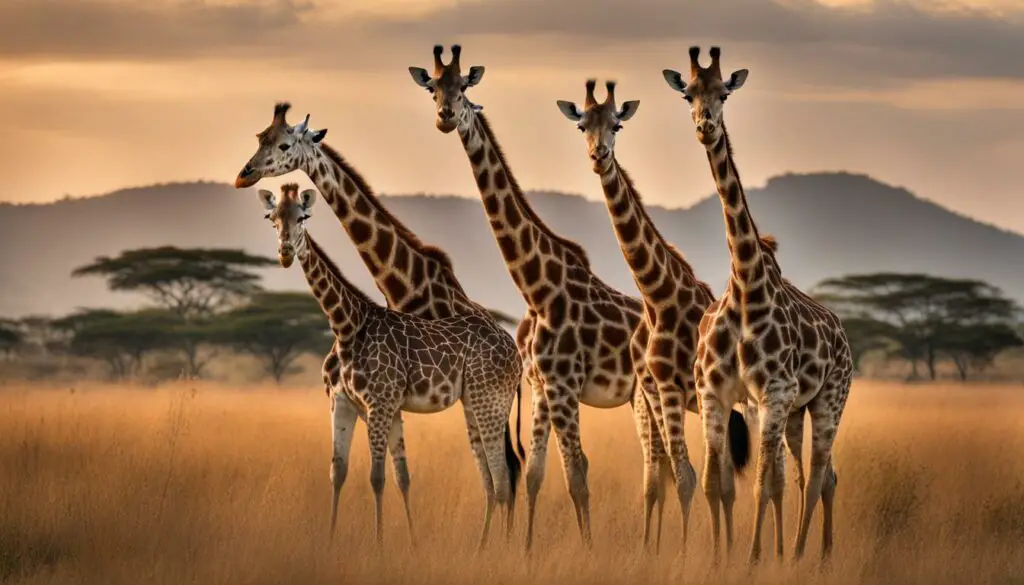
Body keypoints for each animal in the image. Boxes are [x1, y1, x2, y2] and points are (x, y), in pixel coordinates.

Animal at [234, 105, 525, 546]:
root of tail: (517, 353)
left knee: (509, 473)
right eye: (259, 136)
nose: (244, 174)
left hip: (489, 400)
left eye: (284, 144)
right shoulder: (356, 401)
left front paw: (383, 544)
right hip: (475, 403)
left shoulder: (383, 400)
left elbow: (380, 475)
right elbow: (362, 473)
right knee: (496, 477)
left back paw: (505, 547)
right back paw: (491, 546)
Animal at [409, 43, 696, 550]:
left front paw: (587, 549)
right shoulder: (542, 386)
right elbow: (537, 474)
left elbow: (576, 473)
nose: (445, 117)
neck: (539, 287)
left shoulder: (564, 385)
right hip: (643, 397)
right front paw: (522, 551)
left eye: (462, 89)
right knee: (661, 466)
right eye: (432, 89)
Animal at [555, 78, 749, 549]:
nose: (599, 156)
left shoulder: (690, 391)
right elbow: (675, 476)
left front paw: (686, 551)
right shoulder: (661, 390)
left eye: (618, 125)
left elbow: (694, 476)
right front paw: (659, 550)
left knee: (721, 475)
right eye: (582, 125)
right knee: (684, 474)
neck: (660, 296)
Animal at [662, 46, 853, 563]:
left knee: (820, 476)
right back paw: (806, 552)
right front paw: (718, 559)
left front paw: (751, 560)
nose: (705, 126)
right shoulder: (715, 393)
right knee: (813, 476)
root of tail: (844, 337)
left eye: (724, 93)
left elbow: (761, 484)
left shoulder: (774, 393)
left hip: (829, 398)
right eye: (688, 93)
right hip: (796, 410)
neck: (747, 285)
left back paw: (811, 555)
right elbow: (714, 482)